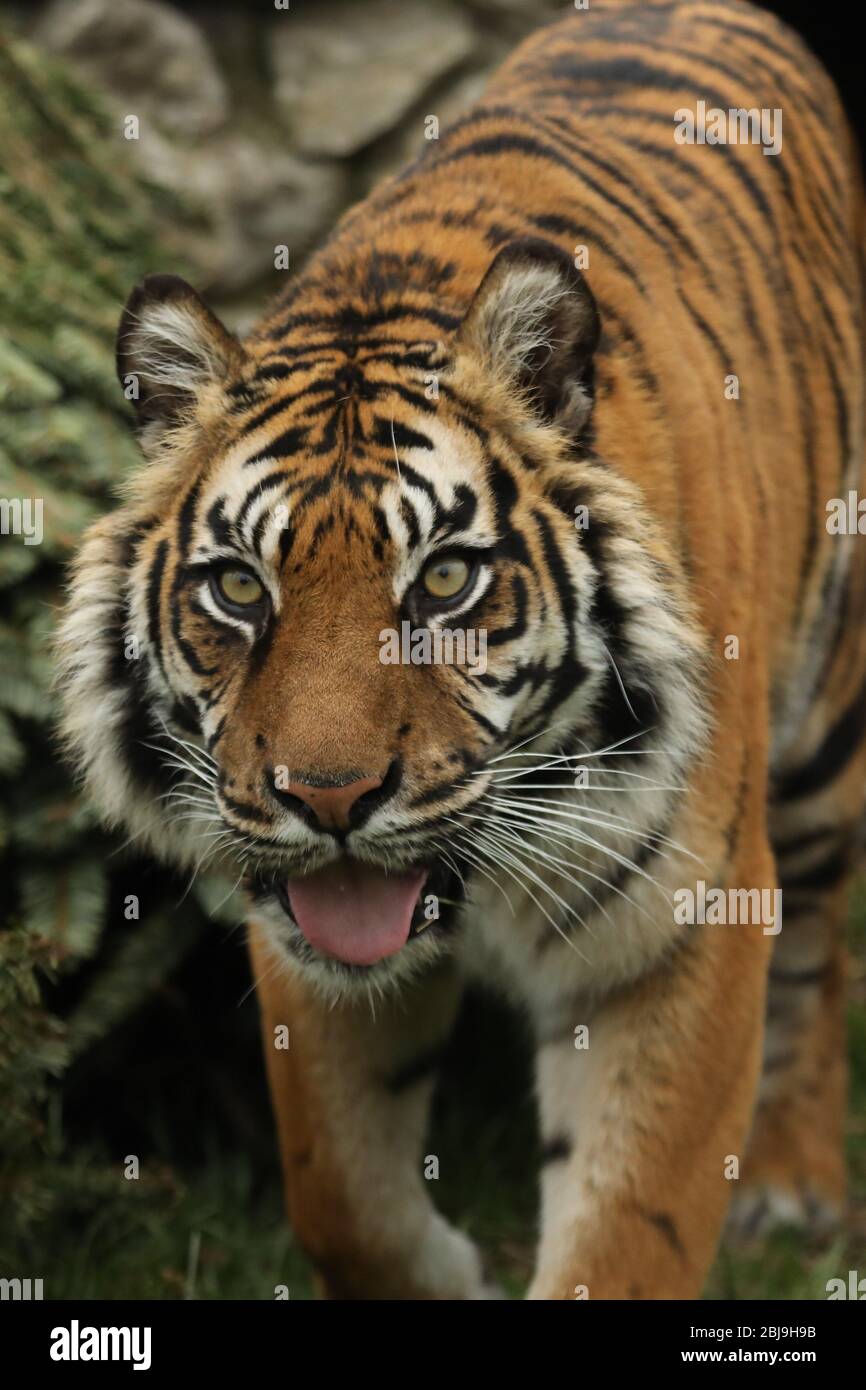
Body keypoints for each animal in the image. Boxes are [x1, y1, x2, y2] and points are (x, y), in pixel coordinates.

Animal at [56, 0, 866, 1299]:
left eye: (443, 578)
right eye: (238, 587)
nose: (328, 799)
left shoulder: (676, 930)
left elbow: (629, 1228)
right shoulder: (299, 929)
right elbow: (342, 1194)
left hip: (821, 724)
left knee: (823, 940)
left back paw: (791, 1183)